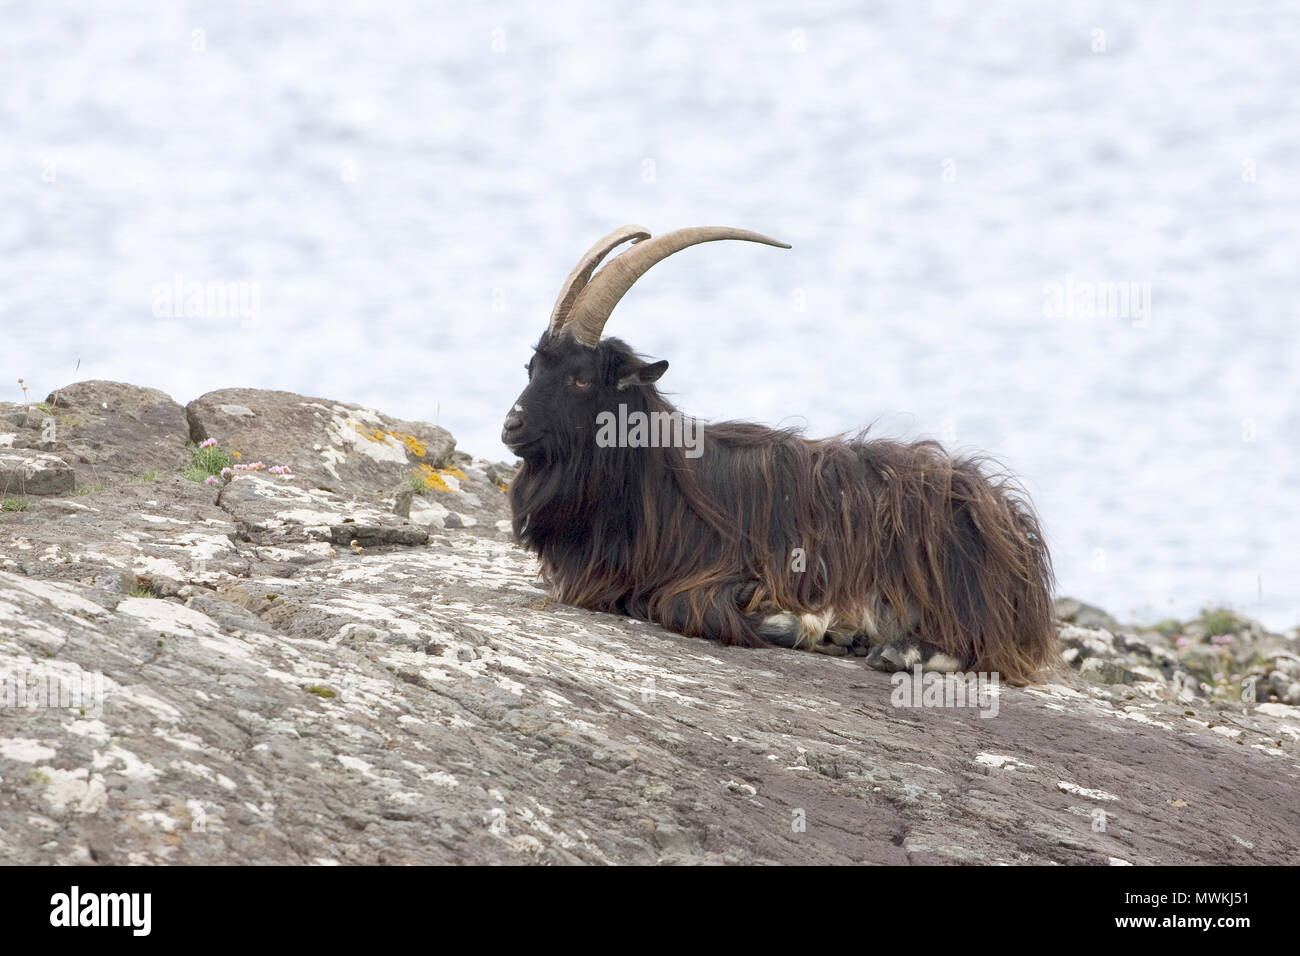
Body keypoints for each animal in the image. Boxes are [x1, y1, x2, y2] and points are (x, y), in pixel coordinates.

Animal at [502, 225, 1058, 684]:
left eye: (580, 378)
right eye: (532, 367)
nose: (511, 426)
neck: (657, 478)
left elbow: (682, 607)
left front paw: (812, 624)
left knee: (981, 649)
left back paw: (895, 651)